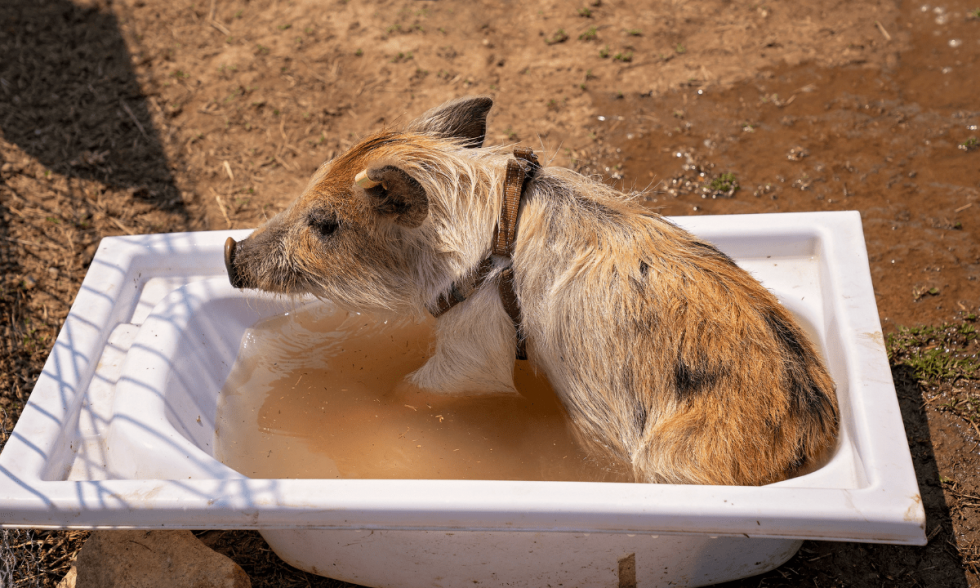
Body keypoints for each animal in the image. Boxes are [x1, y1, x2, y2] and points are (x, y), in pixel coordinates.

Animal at [224, 96, 839, 486]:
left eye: (325, 224)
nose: (230, 254)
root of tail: (806, 451)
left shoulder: (476, 335)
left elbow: (424, 389)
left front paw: (374, 410)